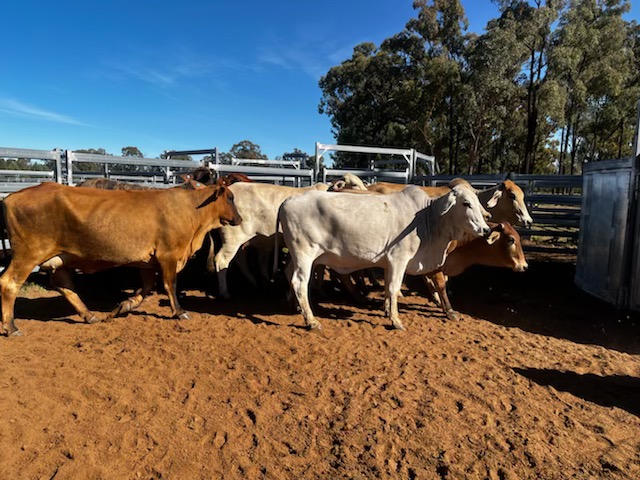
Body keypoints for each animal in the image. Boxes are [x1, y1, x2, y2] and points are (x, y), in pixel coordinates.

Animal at [0, 181, 241, 337]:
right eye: (230, 198)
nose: (239, 219)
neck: (191, 209)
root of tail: (11, 197)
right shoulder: (168, 255)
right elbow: (169, 285)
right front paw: (180, 312)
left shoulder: (148, 262)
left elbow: (146, 289)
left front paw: (123, 306)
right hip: (27, 255)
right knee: (9, 283)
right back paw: (11, 327)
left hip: (60, 258)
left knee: (64, 285)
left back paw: (89, 315)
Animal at [278, 184, 491, 330]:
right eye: (466, 203)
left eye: (478, 203)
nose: (486, 229)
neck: (428, 220)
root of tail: (287, 201)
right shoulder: (399, 259)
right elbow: (394, 288)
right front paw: (396, 320)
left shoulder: (389, 263)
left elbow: (388, 288)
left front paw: (388, 310)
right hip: (305, 255)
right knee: (299, 282)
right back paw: (311, 320)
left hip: (297, 257)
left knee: (288, 273)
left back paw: (293, 305)